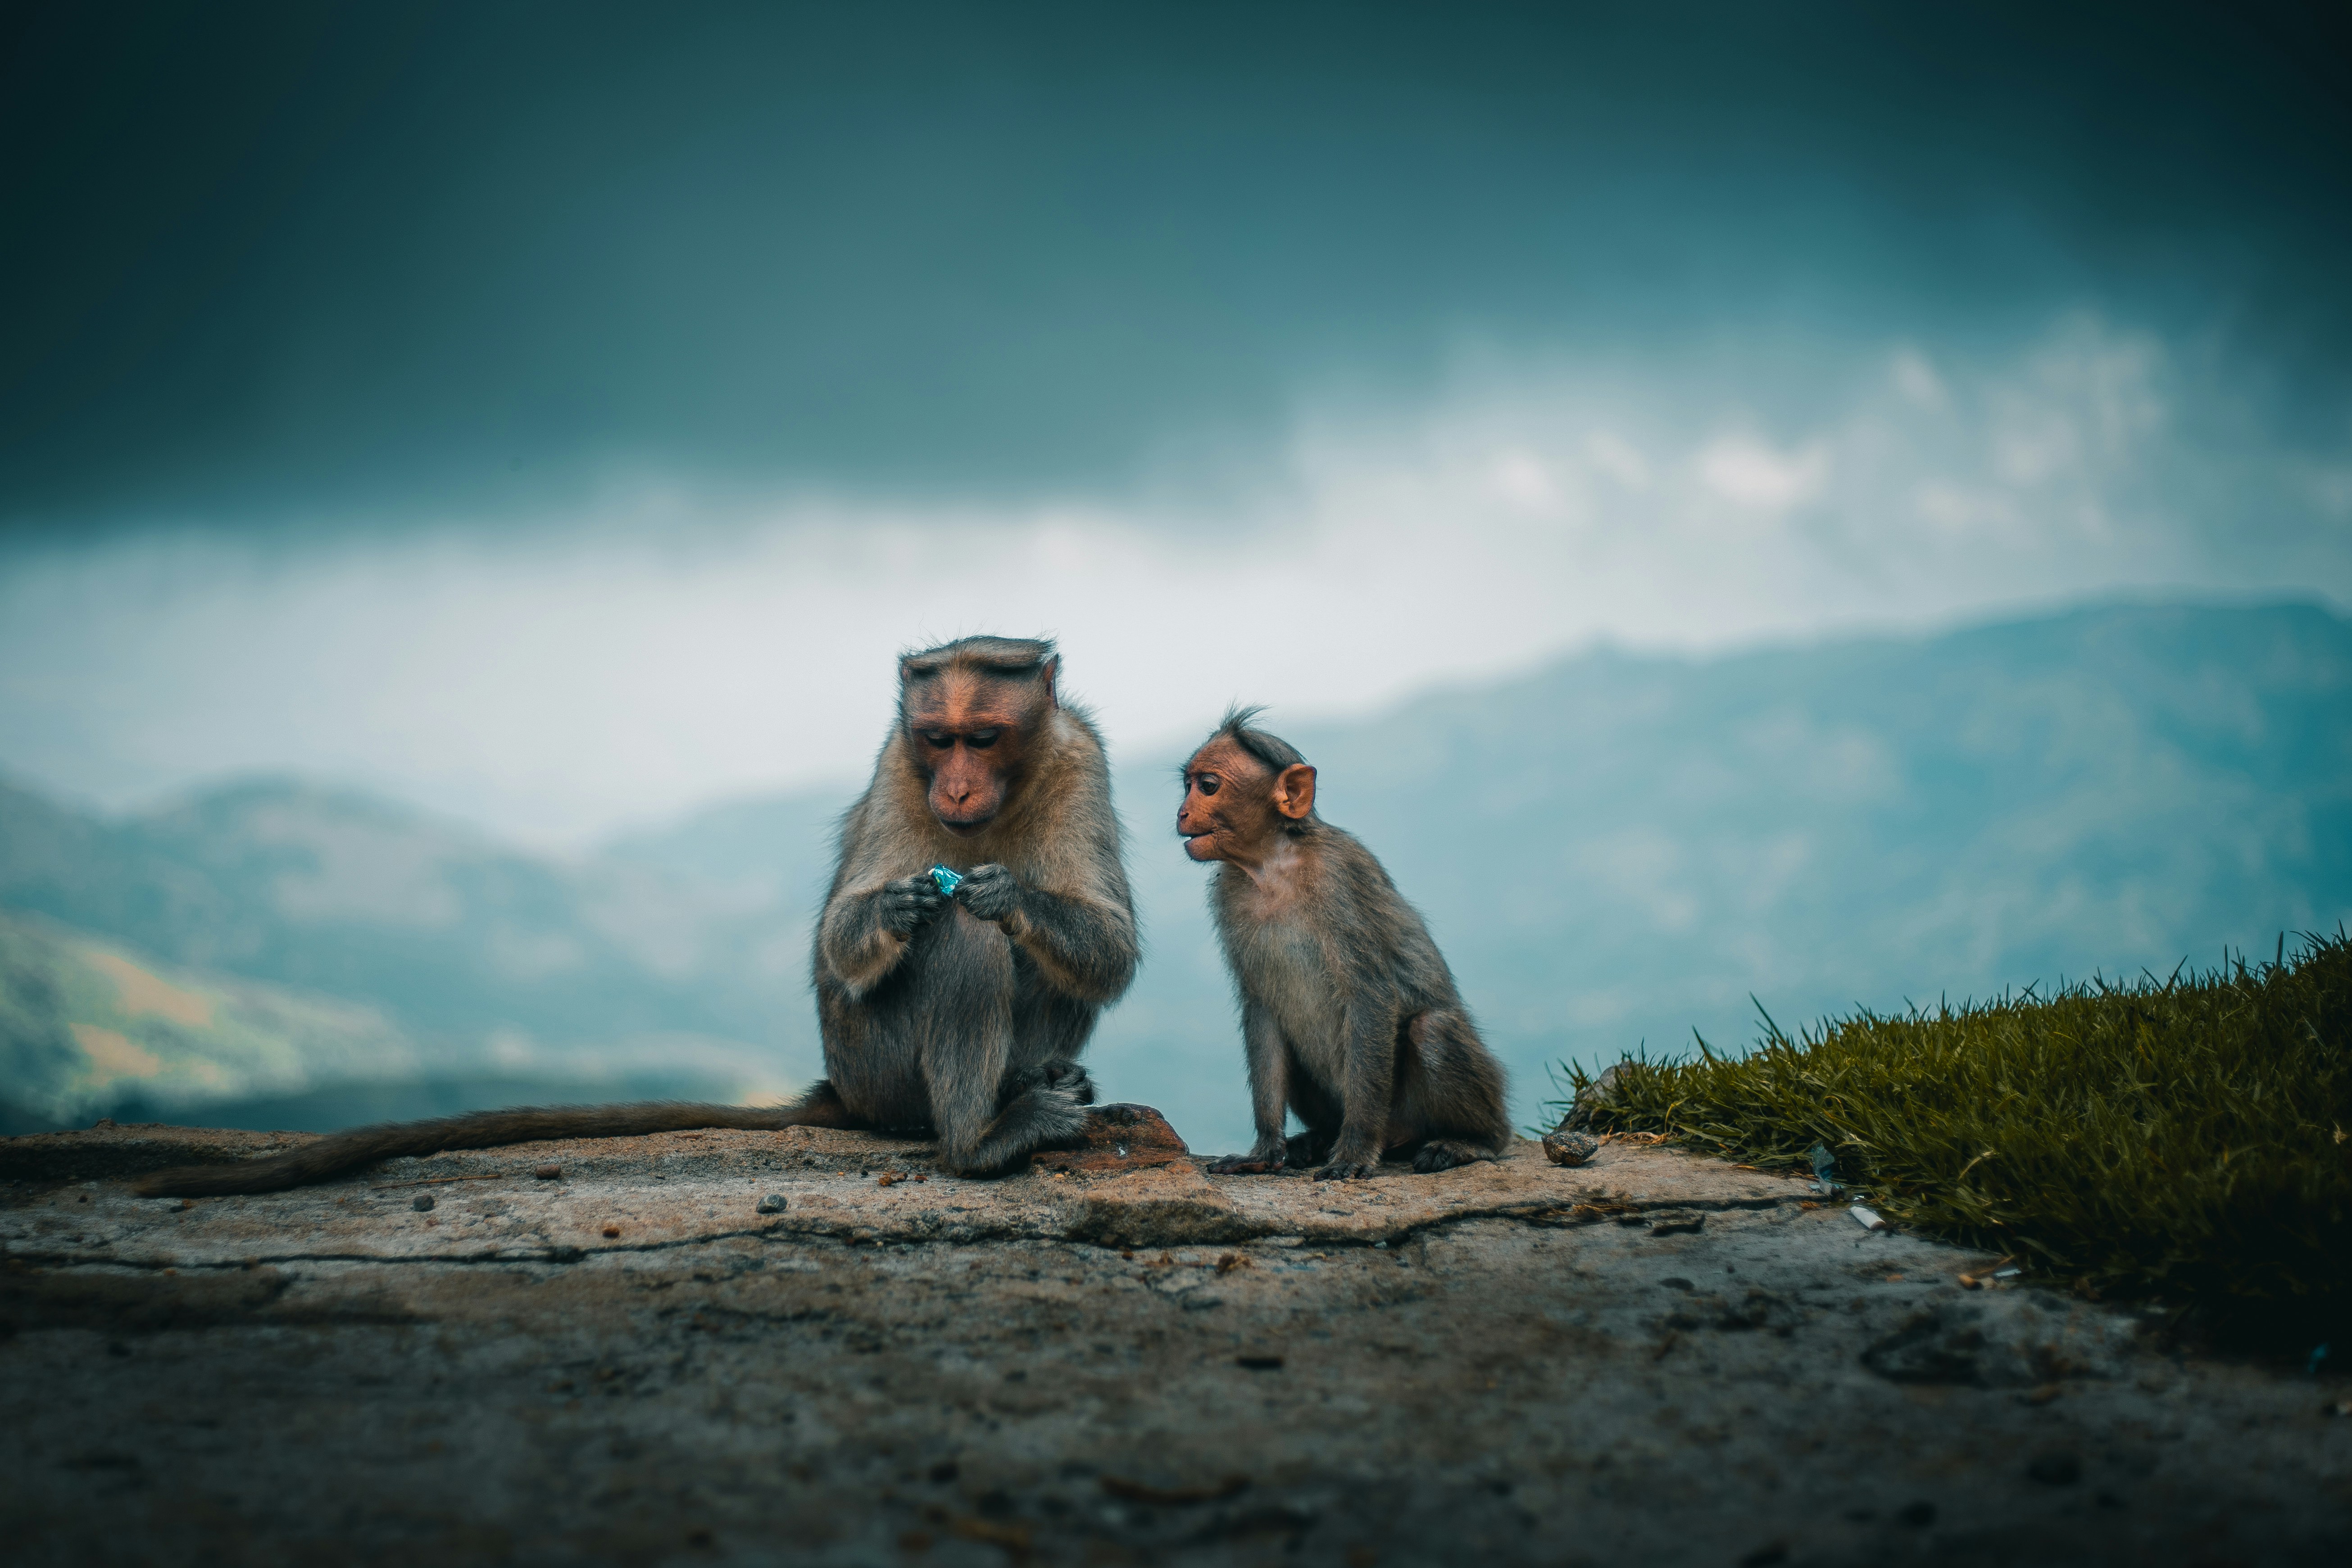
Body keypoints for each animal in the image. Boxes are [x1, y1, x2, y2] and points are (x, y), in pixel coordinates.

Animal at [135, 636, 1139, 1197]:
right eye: (940, 739)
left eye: (984, 738)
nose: (956, 786)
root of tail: (841, 1089)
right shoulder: (896, 761)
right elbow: (844, 941)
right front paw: (902, 903)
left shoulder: (1080, 756)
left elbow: (1109, 946)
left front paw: (1007, 892)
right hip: (881, 1069)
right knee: (959, 941)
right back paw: (980, 1142)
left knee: (1034, 954)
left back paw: (1027, 1082)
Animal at [1177, 707, 1510, 1181]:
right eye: (1187, 784)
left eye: (1208, 785)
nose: (1182, 811)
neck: (1273, 865)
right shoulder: (1229, 895)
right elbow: (1262, 1007)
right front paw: (1265, 1149)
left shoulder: (1341, 879)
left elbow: (1371, 994)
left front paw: (1355, 1149)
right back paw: (1316, 1139)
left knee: (1433, 1029)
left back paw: (1472, 1141)